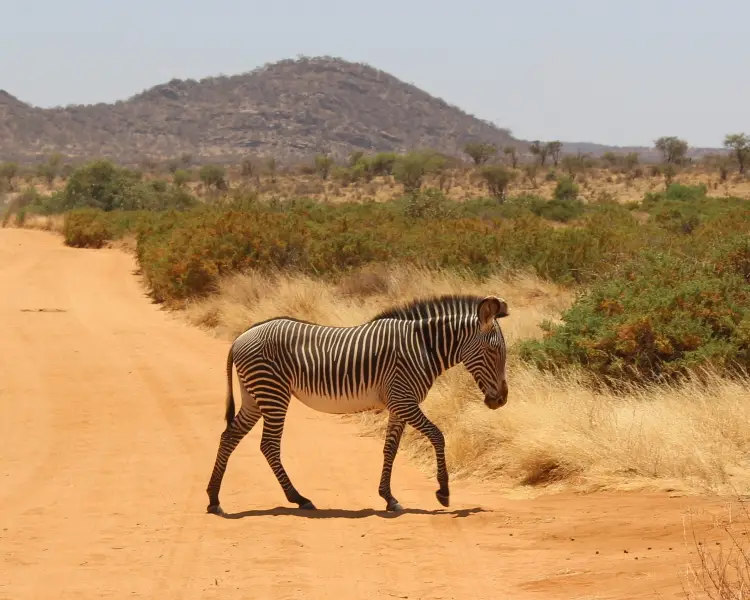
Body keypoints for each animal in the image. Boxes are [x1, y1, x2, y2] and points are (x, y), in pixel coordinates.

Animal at [205, 293, 510, 515]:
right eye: (494, 351)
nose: (501, 400)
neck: (424, 347)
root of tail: (241, 337)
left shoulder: (398, 404)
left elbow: (390, 449)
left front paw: (388, 497)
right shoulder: (404, 399)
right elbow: (437, 435)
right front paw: (443, 492)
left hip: (254, 395)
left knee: (229, 436)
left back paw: (214, 498)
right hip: (272, 391)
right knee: (268, 445)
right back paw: (299, 498)